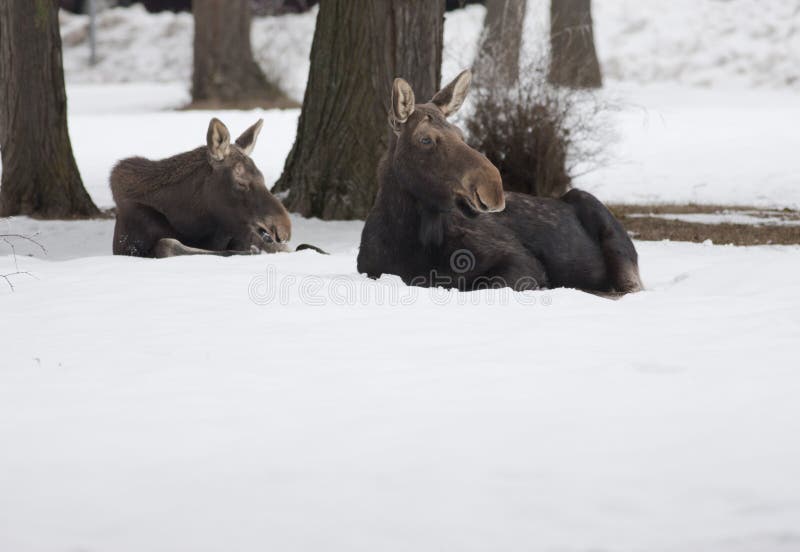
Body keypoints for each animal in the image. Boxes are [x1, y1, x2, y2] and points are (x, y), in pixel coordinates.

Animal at [357, 70, 643, 295]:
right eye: (425, 139)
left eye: (460, 134)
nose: (492, 187)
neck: (409, 241)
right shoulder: (370, 271)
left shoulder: (522, 262)